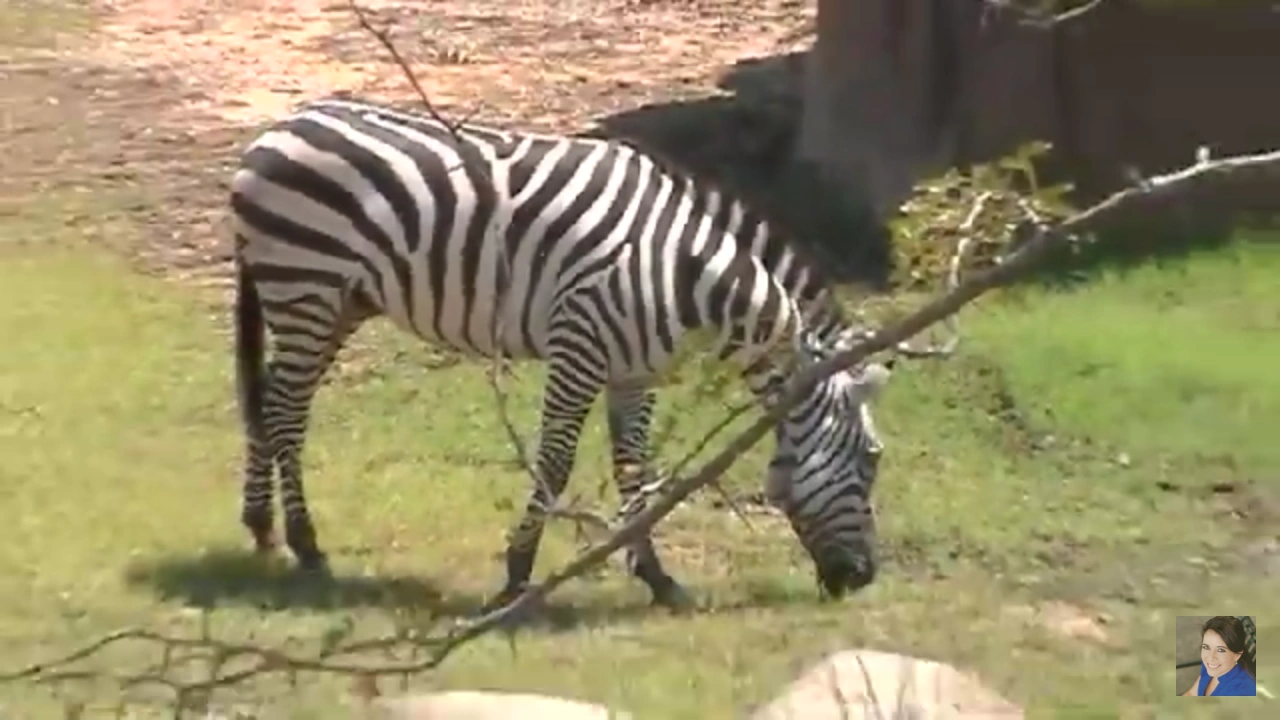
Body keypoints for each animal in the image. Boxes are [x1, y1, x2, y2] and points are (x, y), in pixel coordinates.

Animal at [229, 96, 932, 610]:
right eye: (871, 458)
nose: (862, 579)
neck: (687, 272)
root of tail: (279, 126)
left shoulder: (633, 370)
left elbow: (634, 467)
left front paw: (657, 578)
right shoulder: (580, 347)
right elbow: (557, 461)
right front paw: (518, 573)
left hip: (335, 302)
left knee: (275, 399)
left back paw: (261, 527)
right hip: (306, 289)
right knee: (286, 409)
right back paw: (306, 545)